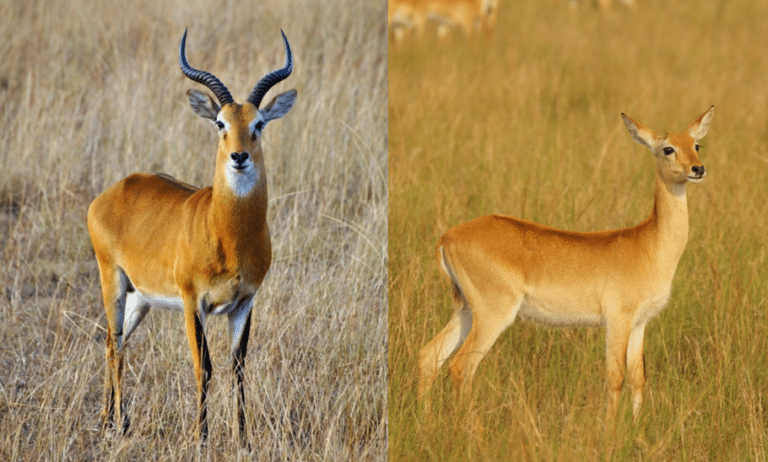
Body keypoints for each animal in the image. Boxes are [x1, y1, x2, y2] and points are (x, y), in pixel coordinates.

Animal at [87, 28, 297, 443]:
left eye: (259, 123)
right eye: (219, 122)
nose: (238, 157)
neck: (228, 236)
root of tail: (115, 190)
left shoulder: (245, 302)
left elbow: (237, 368)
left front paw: (243, 439)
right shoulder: (192, 303)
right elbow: (204, 366)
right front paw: (201, 439)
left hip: (140, 298)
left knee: (113, 343)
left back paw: (108, 420)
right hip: (112, 282)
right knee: (114, 343)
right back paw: (120, 423)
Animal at [417, 107, 714, 423]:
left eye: (696, 145)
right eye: (668, 148)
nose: (698, 169)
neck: (649, 245)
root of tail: (447, 237)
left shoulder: (640, 323)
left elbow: (637, 378)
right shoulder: (618, 320)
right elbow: (615, 378)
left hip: (466, 309)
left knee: (429, 356)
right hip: (493, 313)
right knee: (461, 367)